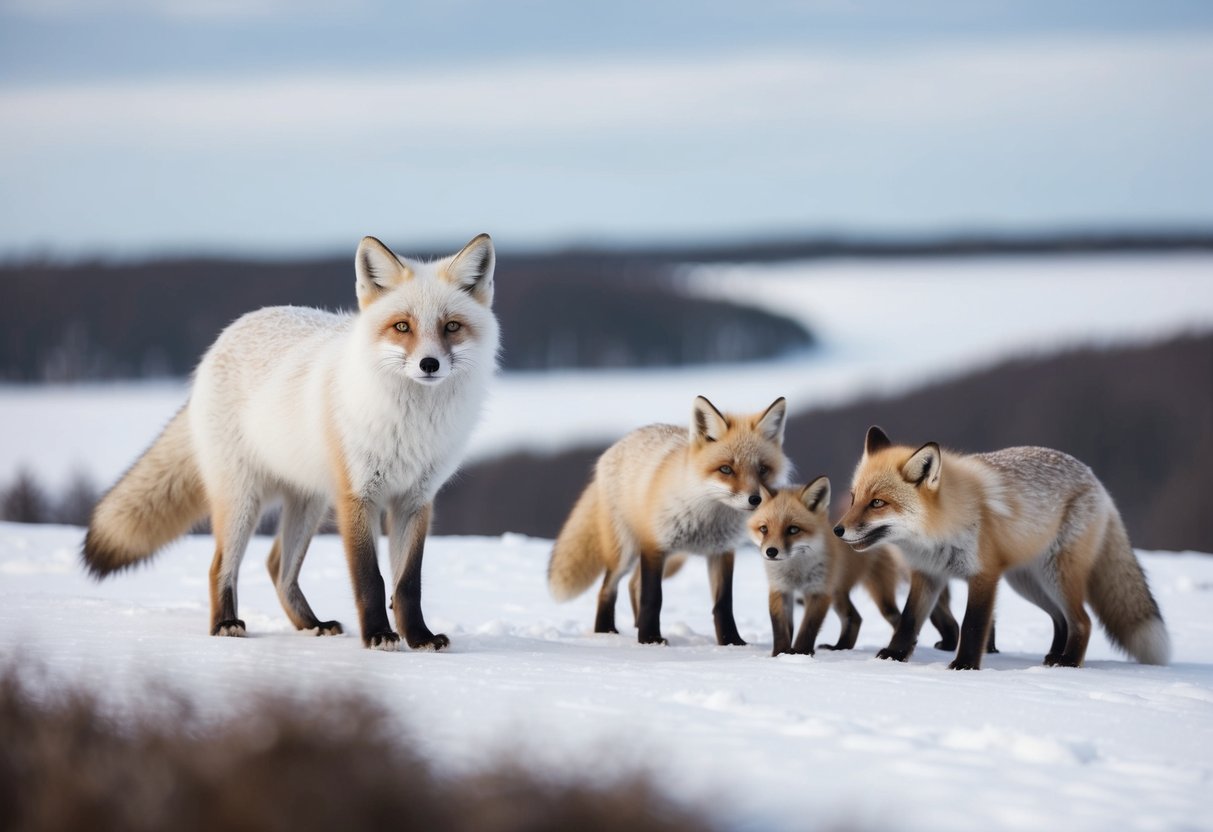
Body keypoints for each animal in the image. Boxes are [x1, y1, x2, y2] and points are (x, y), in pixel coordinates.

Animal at [82, 234, 500, 650]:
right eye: (402, 326)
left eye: (451, 326)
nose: (429, 364)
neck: (412, 424)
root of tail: (227, 335)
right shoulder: (357, 496)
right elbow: (371, 579)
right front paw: (378, 635)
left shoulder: (415, 500)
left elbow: (408, 584)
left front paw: (418, 637)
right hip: (243, 501)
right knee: (220, 566)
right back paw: (226, 624)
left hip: (308, 501)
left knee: (277, 567)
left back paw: (312, 624)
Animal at [548, 396, 790, 645]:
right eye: (726, 469)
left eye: (762, 470)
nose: (756, 499)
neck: (708, 520)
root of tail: (617, 446)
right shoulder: (654, 545)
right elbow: (653, 598)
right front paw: (650, 639)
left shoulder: (722, 551)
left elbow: (723, 604)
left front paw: (731, 641)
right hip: (626, 551)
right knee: (608, 587)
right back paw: (605, 631)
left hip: (674, 558)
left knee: (632, 584)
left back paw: (634, 626)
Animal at [749, 478, 985, 657]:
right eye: (764, 529)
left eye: (793, 529)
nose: (771, 552)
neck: (796, 570)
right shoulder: (781, 589)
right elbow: (780, 628)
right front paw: (780, 654)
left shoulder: (820, 591)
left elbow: (807, 628)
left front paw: (798, 654)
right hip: (839, 594)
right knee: (855, 618)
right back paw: (840, 648)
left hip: (878, 597)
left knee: (895, 619)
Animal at [834, 426, 1170, 670]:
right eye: (854, 498)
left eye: (878, 503)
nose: (838, 530)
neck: (941, 528)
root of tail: (1095, 479)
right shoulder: (927, 574)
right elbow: (908, 621)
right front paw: (893, 656)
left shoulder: (984, 575)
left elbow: (972, 625)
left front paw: (964, 666)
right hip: (1028, 583)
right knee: (1061, 620)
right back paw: (1053, 657)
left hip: (1055, 576)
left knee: (1083, 621)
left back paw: (1068, 662)